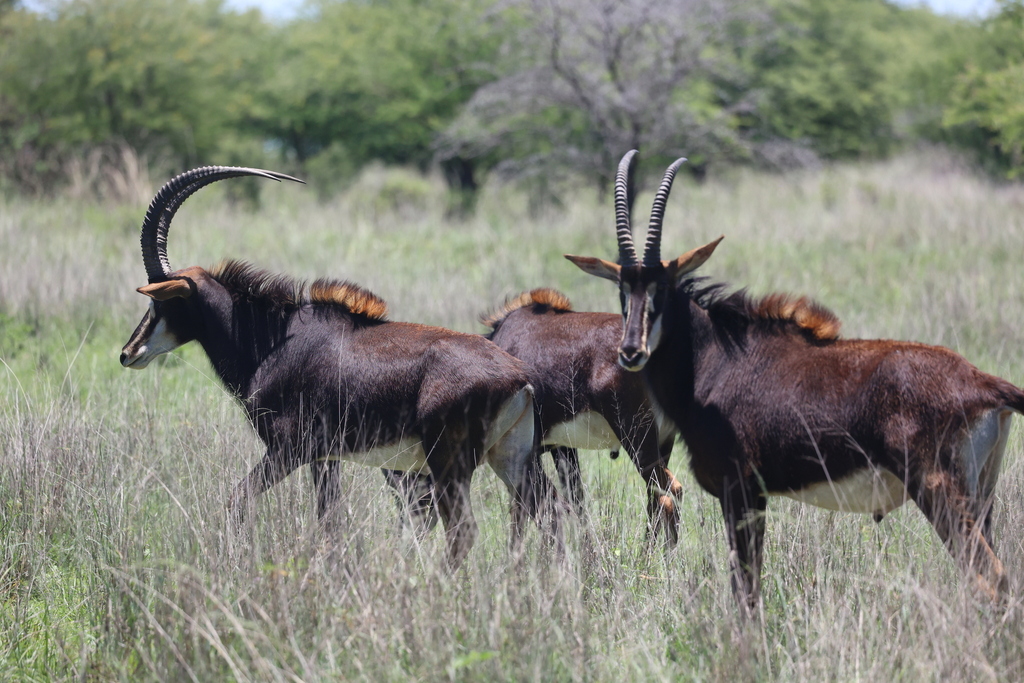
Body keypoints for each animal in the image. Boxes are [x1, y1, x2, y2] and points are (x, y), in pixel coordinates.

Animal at [120, 166, 561, 569]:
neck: (273, 340)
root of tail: (519, 378)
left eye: (160, 300)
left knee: (464, 530)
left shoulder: (290, 450)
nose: (127, 352)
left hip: (449, 463)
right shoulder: (325, 458)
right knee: (549, 511)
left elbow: (237, 501)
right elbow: (330, 521)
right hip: (512, 458)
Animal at [566, 150, 1024, 608]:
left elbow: (746, 591)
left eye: (662, 286)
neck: (713, 357)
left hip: (939, 490)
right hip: (981, 498)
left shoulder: (741, 492)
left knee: (992, 578)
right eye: (623, 289)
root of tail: (983, 381)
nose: (631, 352)